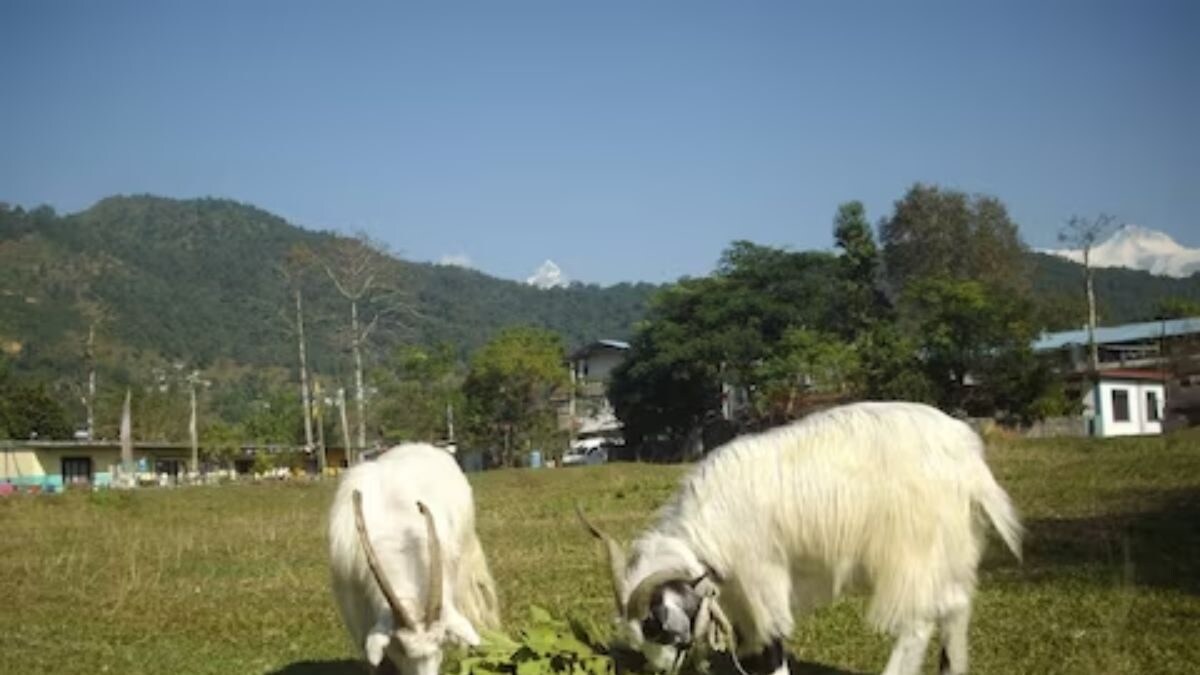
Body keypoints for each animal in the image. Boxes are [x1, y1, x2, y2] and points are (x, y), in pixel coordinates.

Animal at [579, 401, 1021, 675]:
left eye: (658, 627)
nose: (658, 670)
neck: (710, 524)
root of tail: (968, 459)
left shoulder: (763, 575)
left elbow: (773, 642)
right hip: (955, 548)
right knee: (956, 609)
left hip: (913, 550)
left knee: (919, 619)